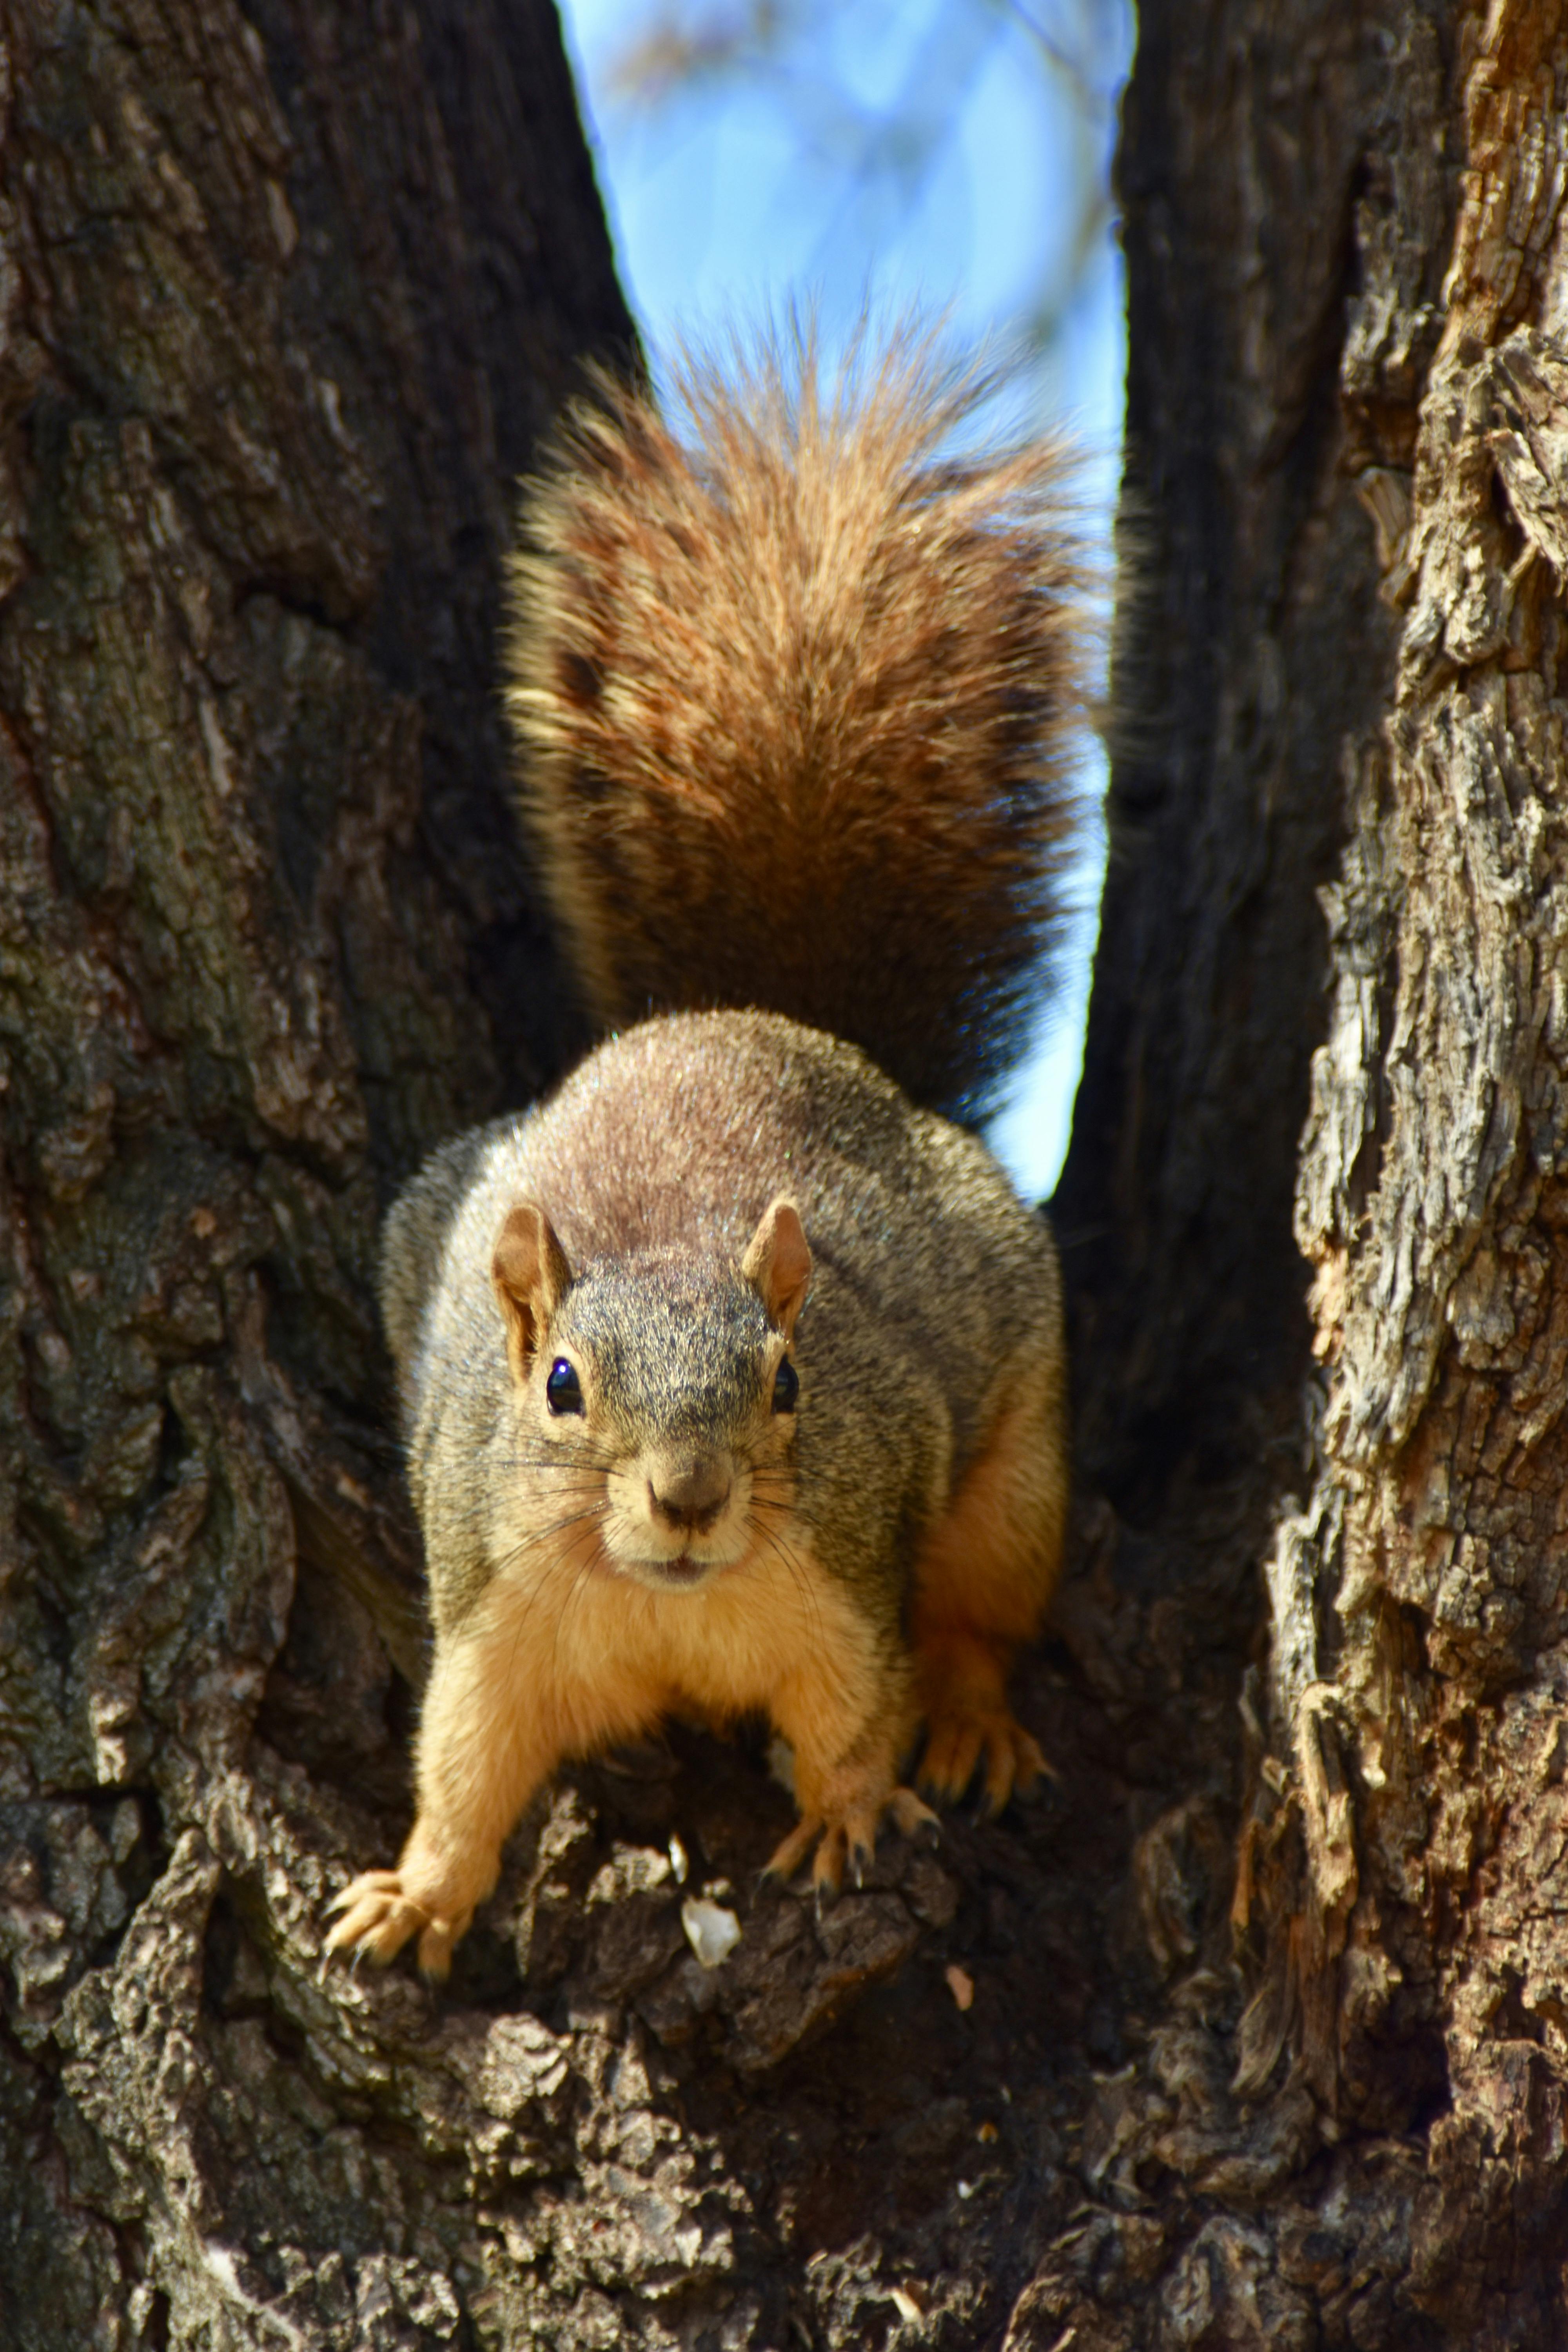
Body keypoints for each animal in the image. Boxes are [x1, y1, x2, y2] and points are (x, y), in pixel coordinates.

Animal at [327, 325, 1088, 1978]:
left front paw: (850, 1817)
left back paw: (980, 1723)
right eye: (559, 1386)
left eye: (788, 1380)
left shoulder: (846, 1583)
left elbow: (861, 1710)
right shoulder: (492, 1617)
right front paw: (416, 1892)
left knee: (981, 1616)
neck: (663, 1598)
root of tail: (758, 1015)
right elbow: (462, 1768)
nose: (688, 1496)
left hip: (1012, 1479)